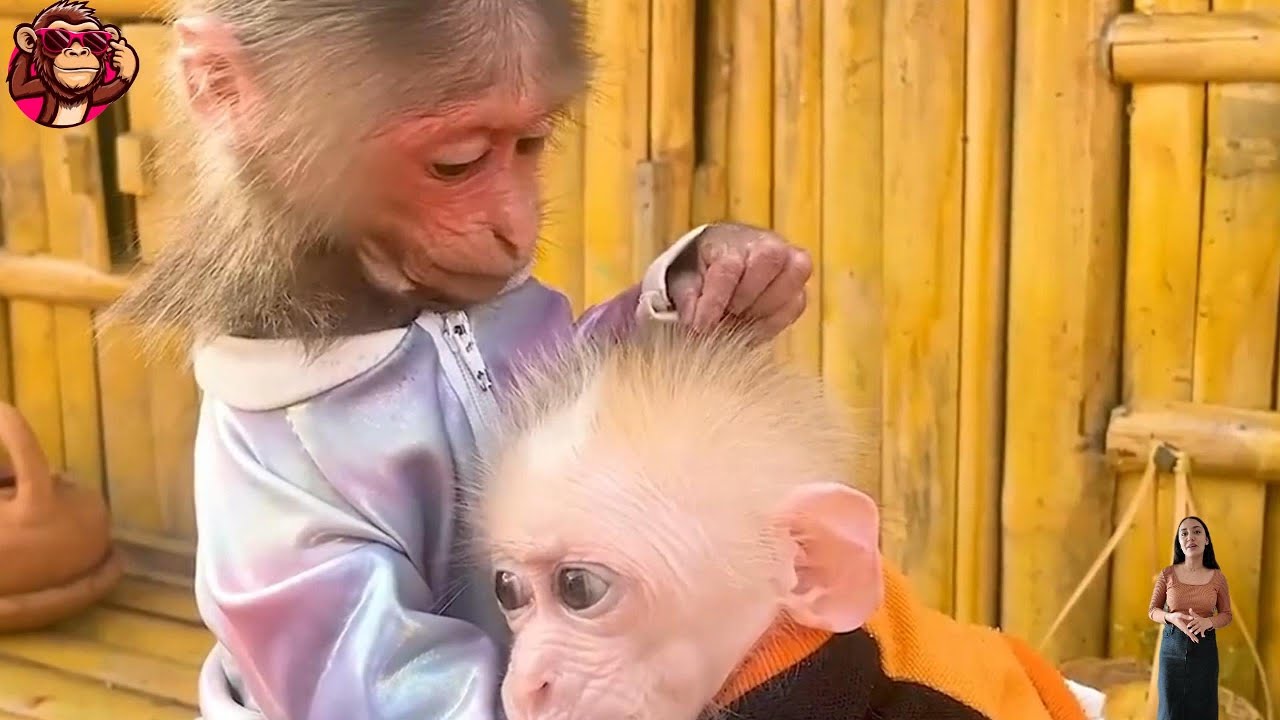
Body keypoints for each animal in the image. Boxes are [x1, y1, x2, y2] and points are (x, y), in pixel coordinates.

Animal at [7, 1, 138, 128]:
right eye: (56, 38)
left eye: (94, 39)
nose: (78, 52)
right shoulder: (41, 86)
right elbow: (19, 87)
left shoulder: (94, 94)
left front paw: (126, 58)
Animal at [94, 2, 814, 719]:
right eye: (456, 165)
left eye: (528, 144)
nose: (515, 224)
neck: (412, 314)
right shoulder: (266, 478)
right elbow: (387, 651)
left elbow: (584, 359)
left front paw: (723, 268)